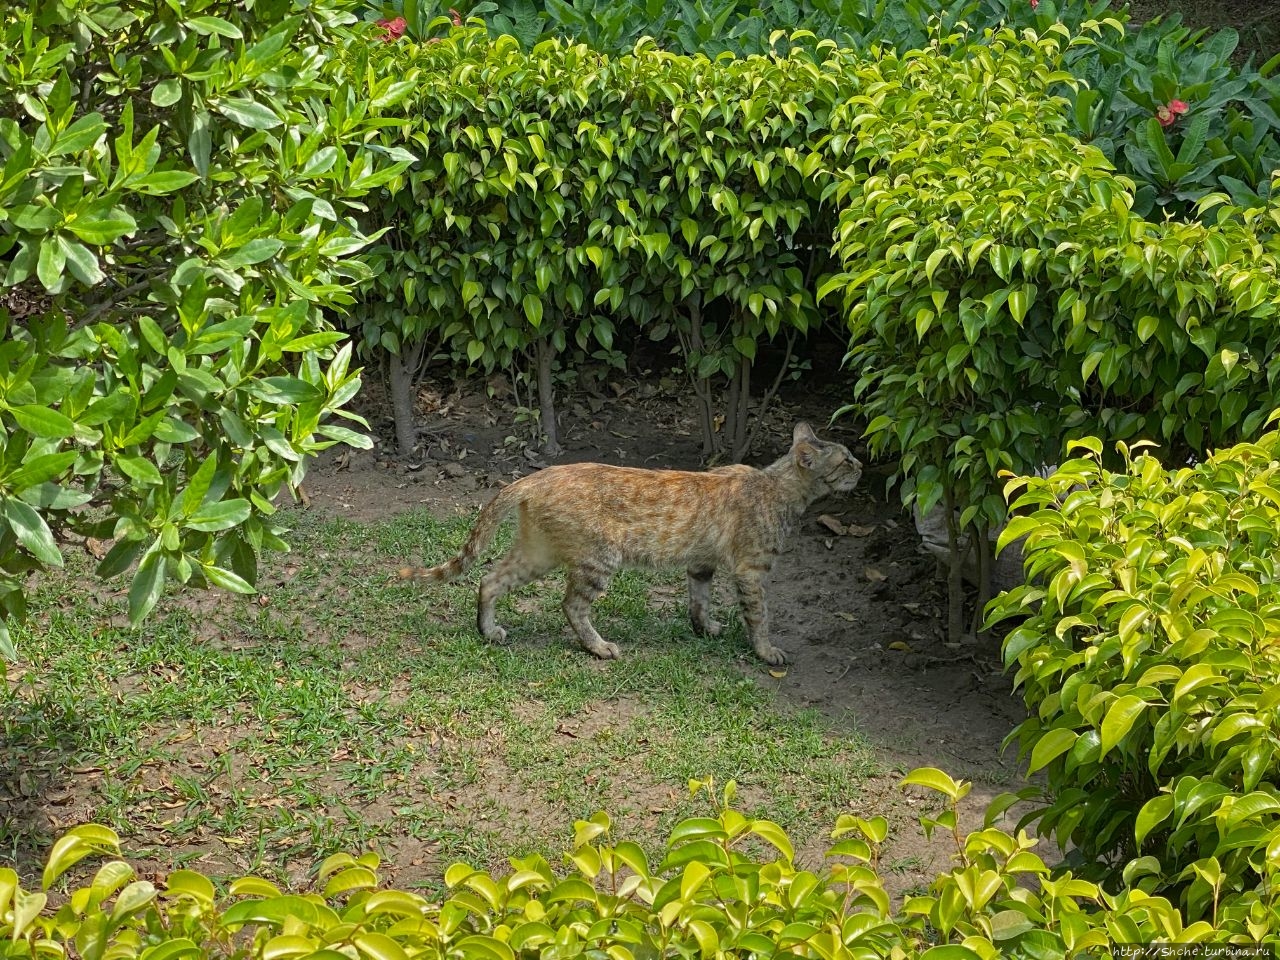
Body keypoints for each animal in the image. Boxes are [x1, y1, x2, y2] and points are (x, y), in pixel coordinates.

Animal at [396, 424, 860, 665]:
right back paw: (599, 647)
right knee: (571, 605)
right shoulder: (751, 570)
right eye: (845, 460)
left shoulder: (701, 563)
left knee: (489, 580)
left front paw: (705, 628)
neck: (776, 487)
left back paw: (488, 631)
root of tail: (535, 476)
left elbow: (699, 601)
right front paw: (766, 651)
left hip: (537, 553)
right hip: (598, 560)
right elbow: (759, 616)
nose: (863, 465)